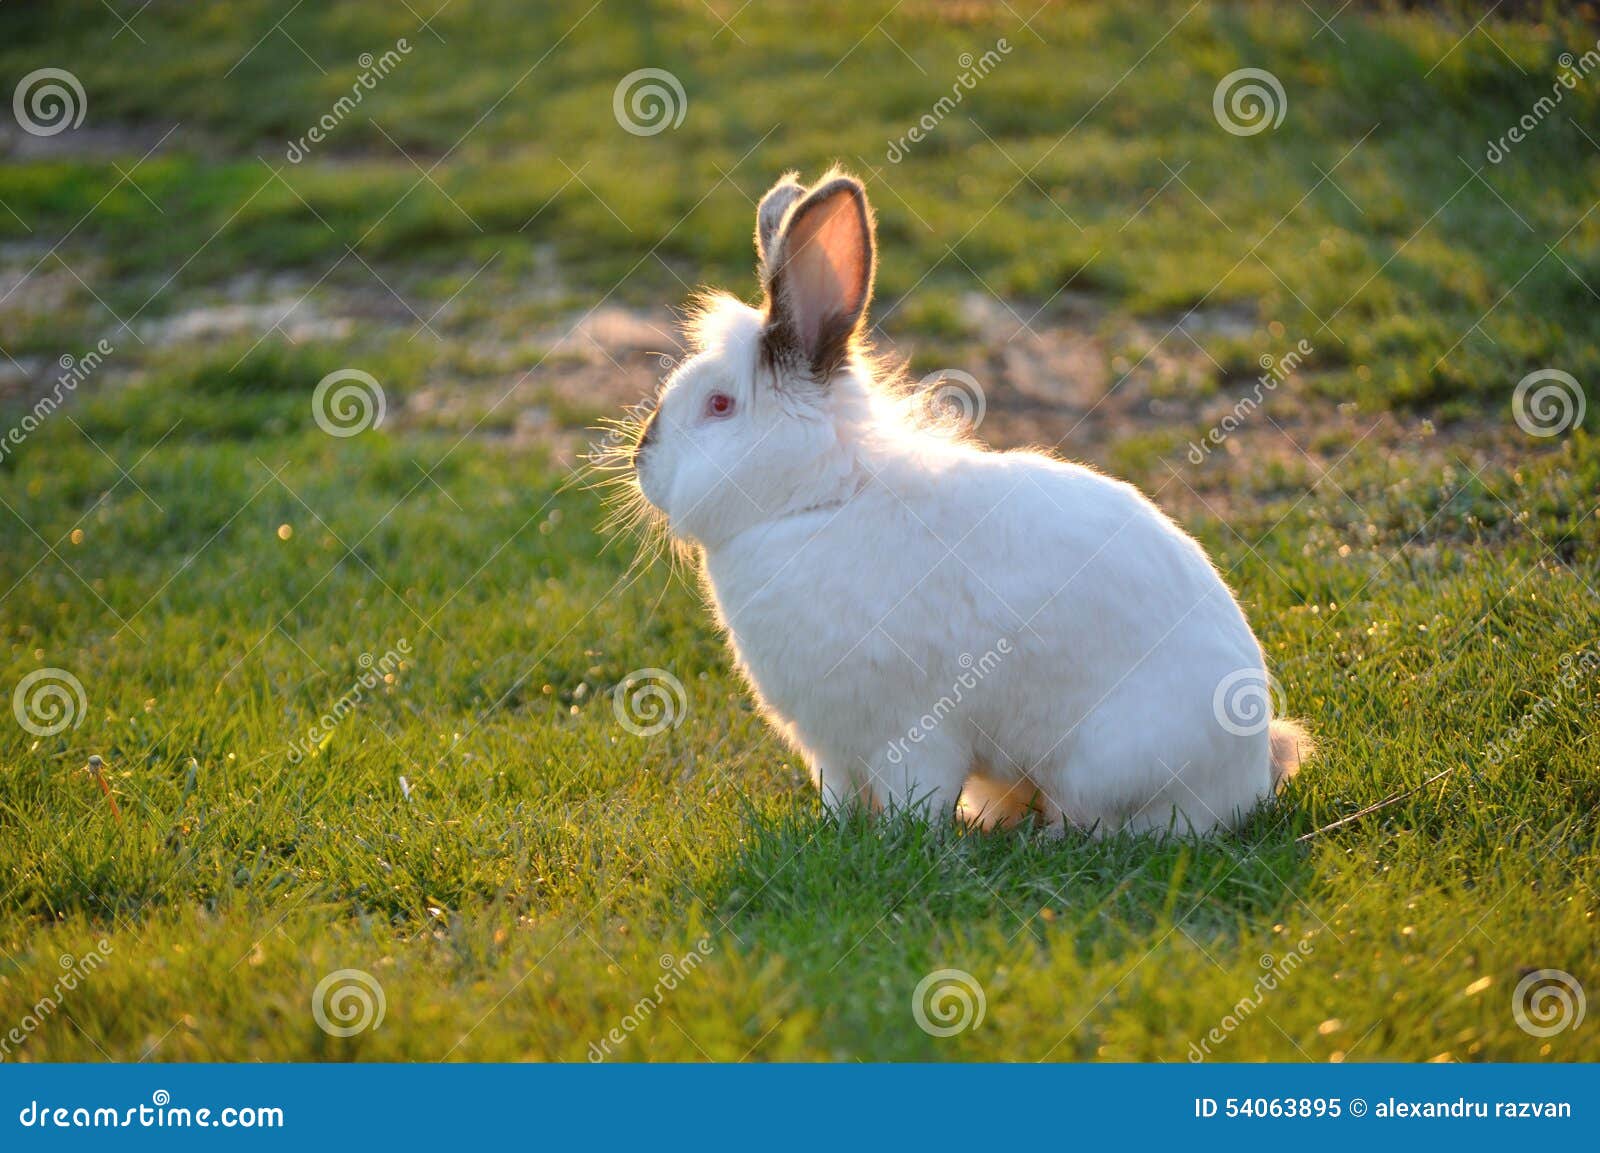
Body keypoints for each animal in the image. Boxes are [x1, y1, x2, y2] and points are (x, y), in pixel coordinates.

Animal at [622, 167, 1309, 835]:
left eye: (719, 405)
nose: (641, 460)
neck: (820, 500)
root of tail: (1254, 763)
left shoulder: (914, 733)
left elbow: (918, 798)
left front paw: (904, 838)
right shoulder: (833, 749)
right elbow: (838, 796)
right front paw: (836, 829)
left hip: (1111, 765)